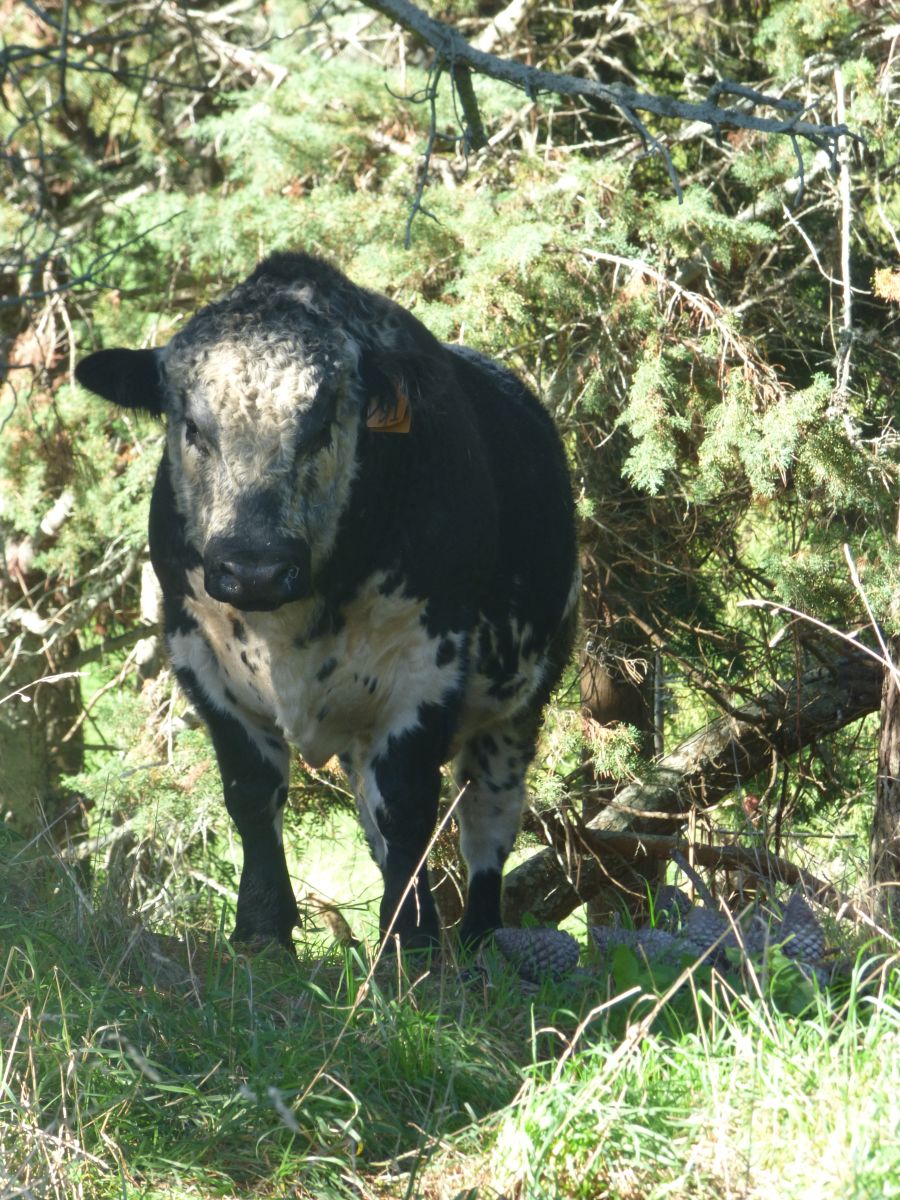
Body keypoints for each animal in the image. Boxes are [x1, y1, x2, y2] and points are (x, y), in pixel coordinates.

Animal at [76, 252, 578, 953]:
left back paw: (481, 940)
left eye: (321, 426)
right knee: (375, 818)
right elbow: (252, 794)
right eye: (194, 428)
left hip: (517, 706)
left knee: (487, 818)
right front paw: (263, 935)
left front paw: (413, 942)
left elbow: (408, 806)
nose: (254, 569)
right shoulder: (200, 660)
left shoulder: (429, 668)